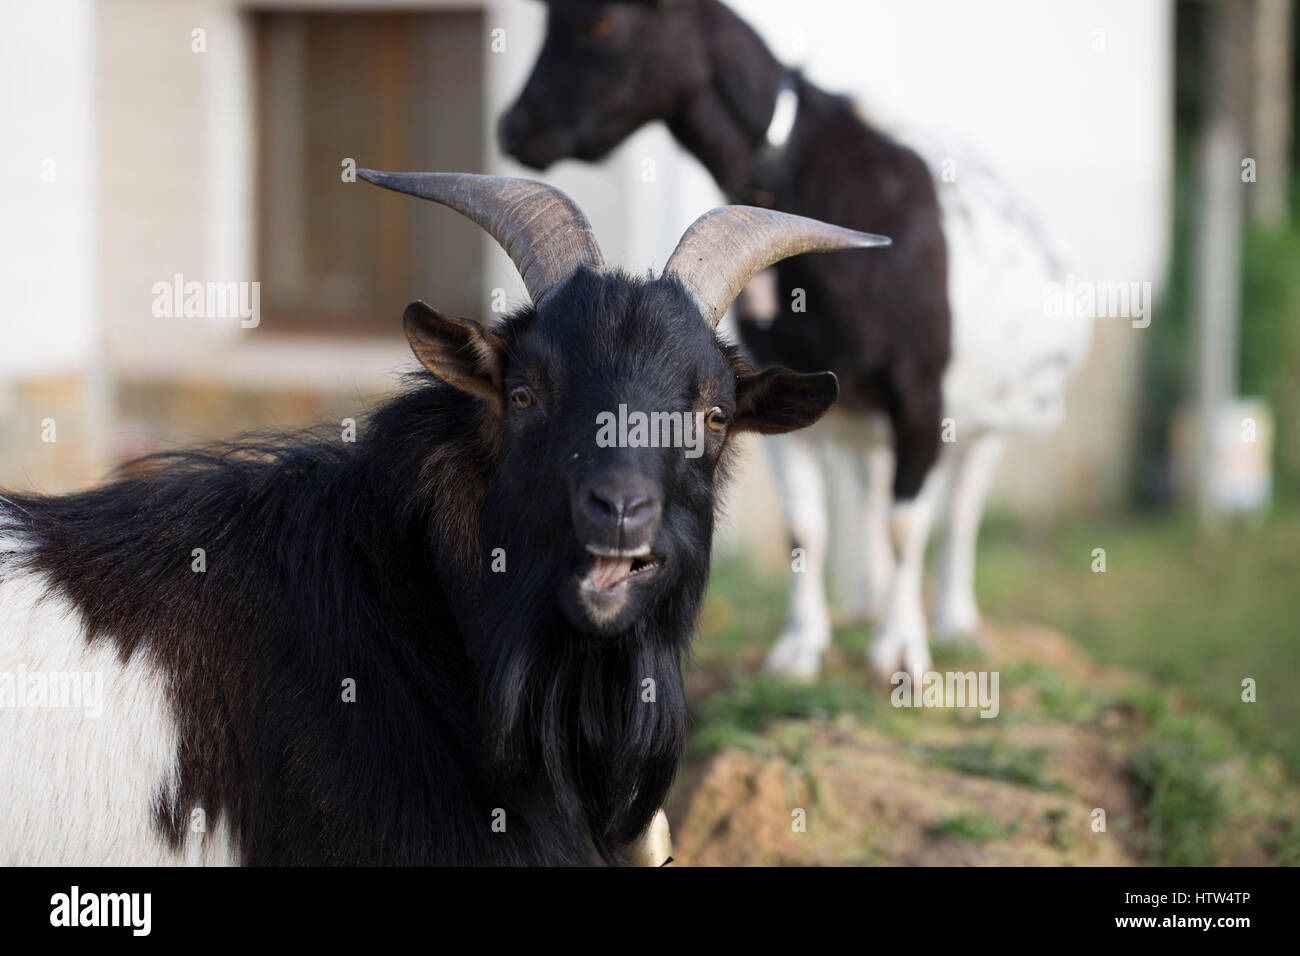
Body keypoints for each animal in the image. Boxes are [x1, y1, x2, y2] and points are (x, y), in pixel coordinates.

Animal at [501, 0, 1092, 681]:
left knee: (960, 506)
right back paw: (867, 602)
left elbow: (908, 523)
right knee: (870, 486)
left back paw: (953, 621)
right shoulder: (781, 380)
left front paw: (902, 654)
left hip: (996, 410)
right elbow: (804, 525)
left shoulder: (921, 392)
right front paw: (799, 649)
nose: (514, 130)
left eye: (601, 24)